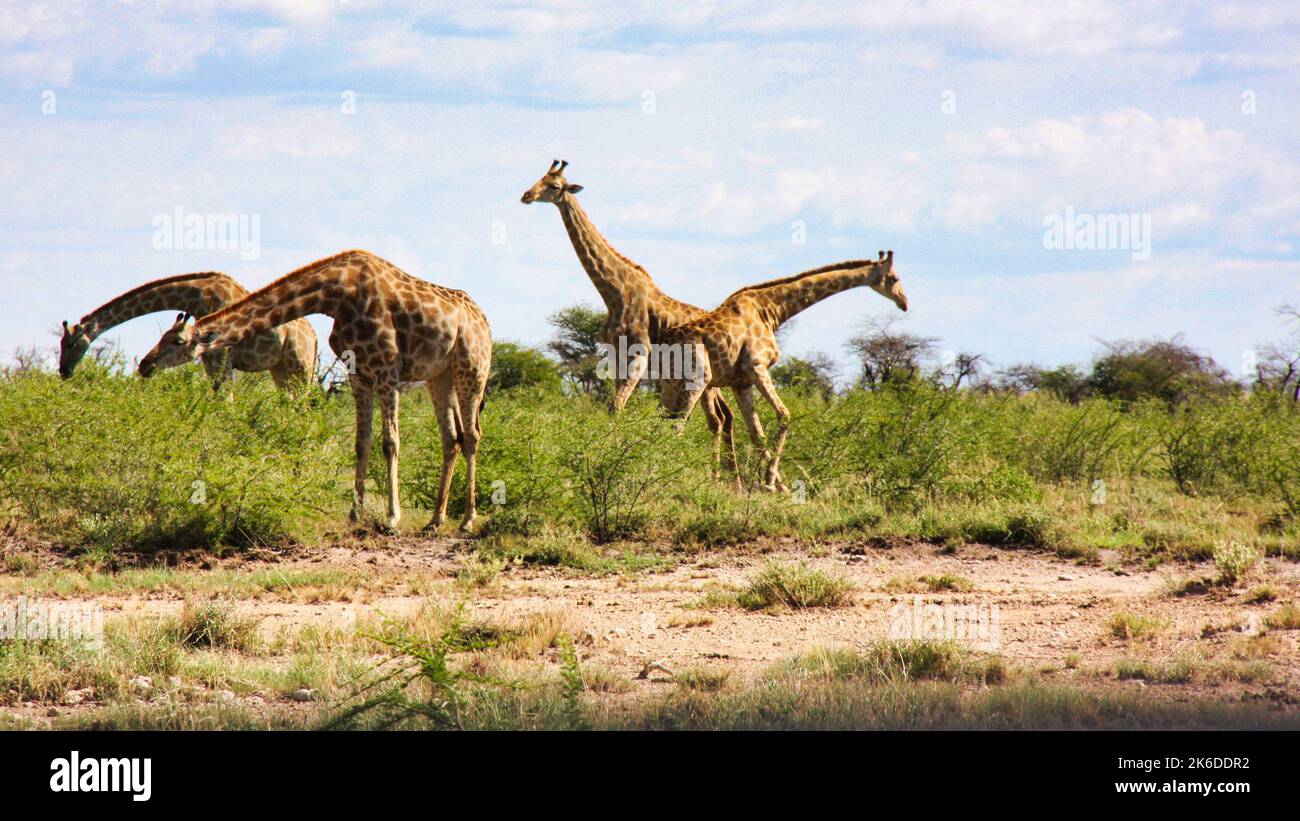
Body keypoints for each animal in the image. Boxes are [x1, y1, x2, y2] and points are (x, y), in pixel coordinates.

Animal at [59, 272, 317, 389]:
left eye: (72, 343)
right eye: (61, 344)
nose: (64, 371)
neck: (195, 296)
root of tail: (314, 338)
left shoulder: (221, 358)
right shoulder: (209, 359)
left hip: (299, 368)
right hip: (280, 369)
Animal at [137, 250, 492, 533]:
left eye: (177, 341)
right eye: (163, 336)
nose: (144, 364)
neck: (336, 295)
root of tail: (484, 322)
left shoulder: (386, 369)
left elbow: (390, 442)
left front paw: (392, 518)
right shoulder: (359, 375)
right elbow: (361, 443)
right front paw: (354, 514)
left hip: (471, 368)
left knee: (472, 435)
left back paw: (467, 520)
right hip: (439, 376)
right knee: (452, 438)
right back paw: (435, 520)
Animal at [521, 159, 738, 482]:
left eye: (555, 186)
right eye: (539, 177)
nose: (526, 195)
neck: (614, 292)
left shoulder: (640, 351)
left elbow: (618, 405)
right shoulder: (616, 352)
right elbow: (614, 406)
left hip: (703, 378)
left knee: (717, 419)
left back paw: (716, 478)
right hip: (711, 381)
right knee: (726, 416)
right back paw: (732, 480)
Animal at [660, 251, 908, 491]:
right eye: (894, 278)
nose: (904, 302)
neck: (771, 311)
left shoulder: (741, 383)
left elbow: (757, 434)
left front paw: (776, 484)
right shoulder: (757, 367)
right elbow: (784, 415)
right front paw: (770, 480)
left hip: (670, 386)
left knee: (661, 422)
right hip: (697, 380)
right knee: (677, 425)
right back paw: (673, 480)